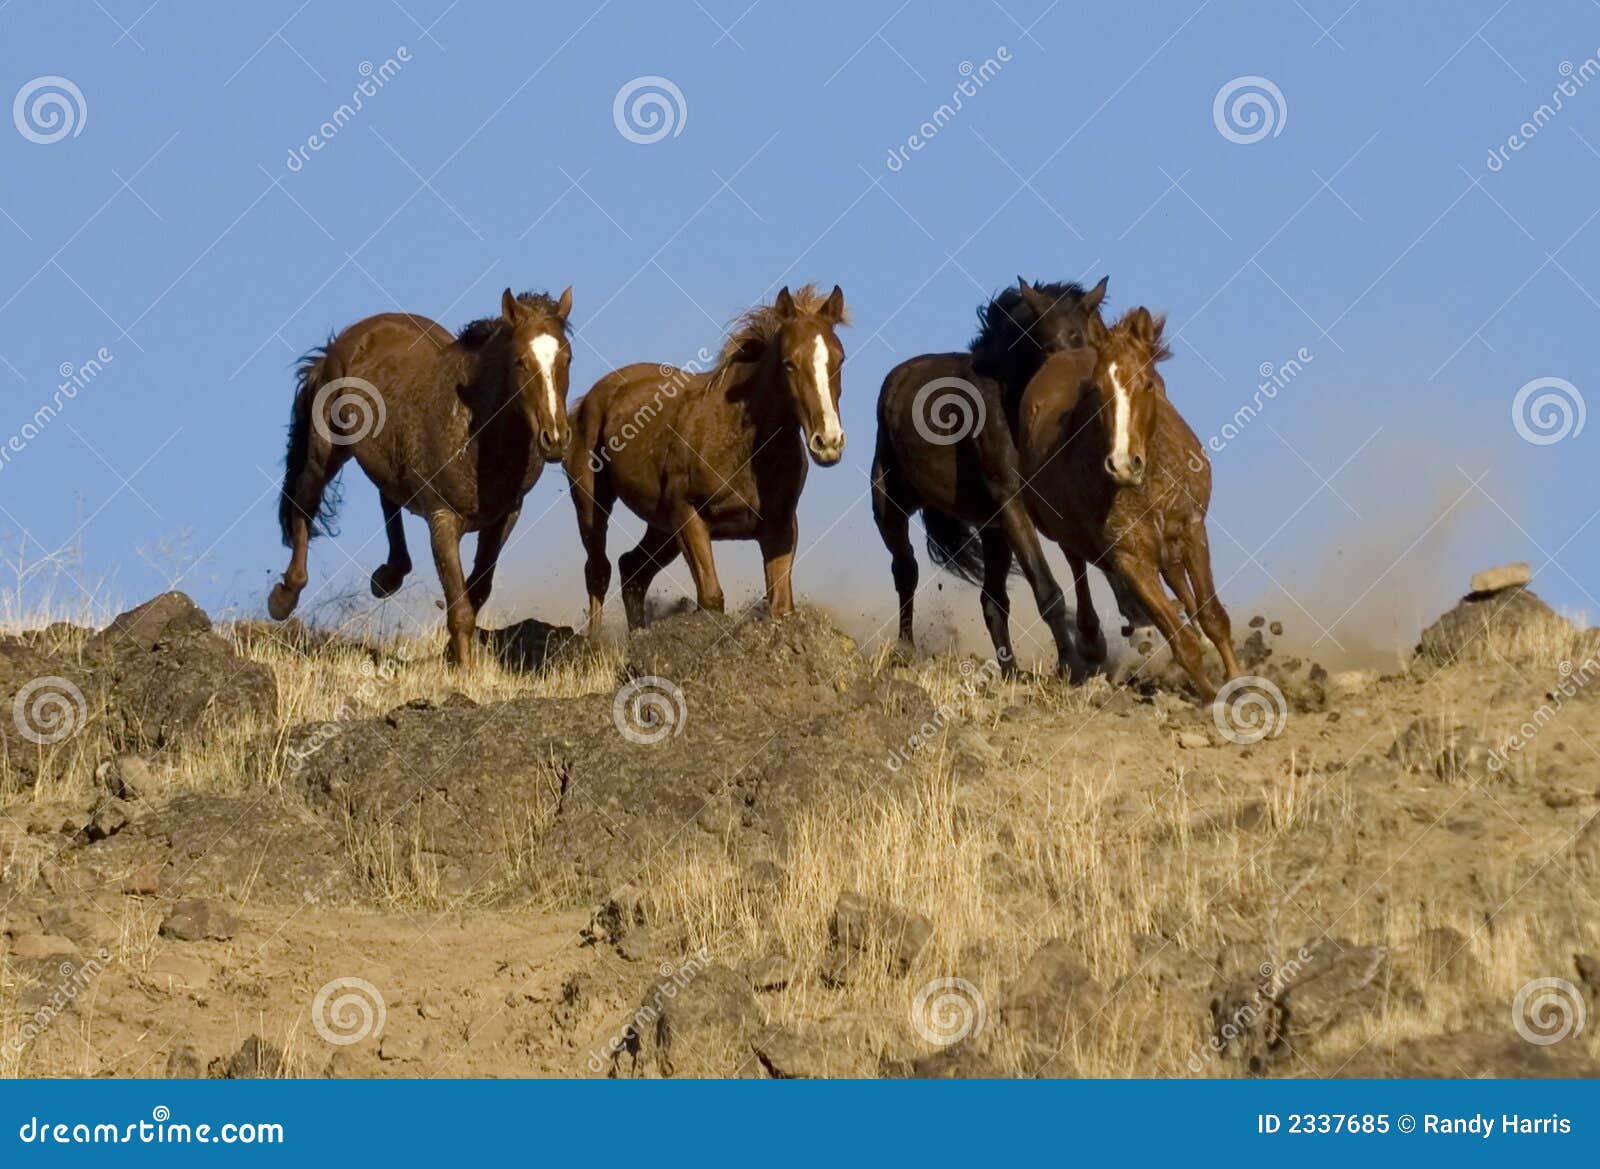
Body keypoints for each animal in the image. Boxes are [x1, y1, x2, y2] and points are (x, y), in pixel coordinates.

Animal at [269, 287, 574, 664]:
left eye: (567, 358)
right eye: (520, 361)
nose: (555, 438)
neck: (476, 430)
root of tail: (343, 342)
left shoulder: (505, 517)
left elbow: (478, 591)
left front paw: (452, 657)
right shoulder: (443, 519)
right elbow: (460, 608)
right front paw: (464, 670)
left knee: (387, 496)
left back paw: (387, 576)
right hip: (326, 449)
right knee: (305, 500)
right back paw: (284, 597)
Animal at [565, 284, 848, 632]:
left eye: (840, 359)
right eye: (789, 362)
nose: (828, 442)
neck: (742, 445)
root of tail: (587, 400)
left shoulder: (780, 527)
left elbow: (781, 606)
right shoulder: (689, 516)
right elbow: (711, 598)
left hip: (661, 529)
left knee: (632, 570)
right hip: (592, 502)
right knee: (598, 570)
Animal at [869, 276, 1108, 676]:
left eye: (1083, 342)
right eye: (1045, 346)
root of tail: (896, 379)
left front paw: (1091, 648)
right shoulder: (1012, 500)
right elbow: (1048, 590)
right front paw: (1072, 665)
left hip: (992, 529)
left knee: (992, 600)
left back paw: (1011, 671)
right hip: (890, 505)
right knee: (906, 570)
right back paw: (905, 651)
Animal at [1016, 306, 1242, 700]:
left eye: (1148, 384)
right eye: (1097, 389)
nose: (1122, 464)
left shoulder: (1192, 530)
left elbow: (1213, 616)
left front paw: (1238, 680)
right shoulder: (1129, 558)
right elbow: (1181, 641)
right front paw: (1213, 696)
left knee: (1179, 582)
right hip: (1072, 537)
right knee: (1077, 564)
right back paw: (1091, 641)